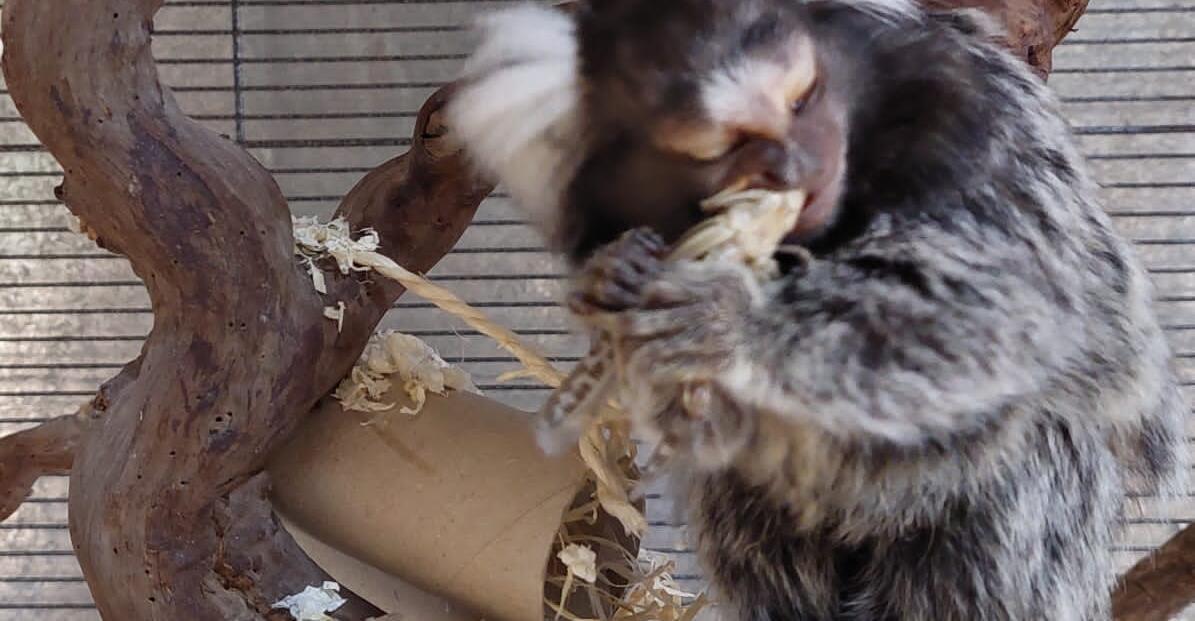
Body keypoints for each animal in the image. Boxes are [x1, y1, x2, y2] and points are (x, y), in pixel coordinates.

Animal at [447, 1, 1188, 619]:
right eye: (720, 149)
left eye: (801, 98)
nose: (798, 167)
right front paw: (617, 276)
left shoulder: (983, 130)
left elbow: (1019, 310)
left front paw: (735, 324)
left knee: (1026, 454)